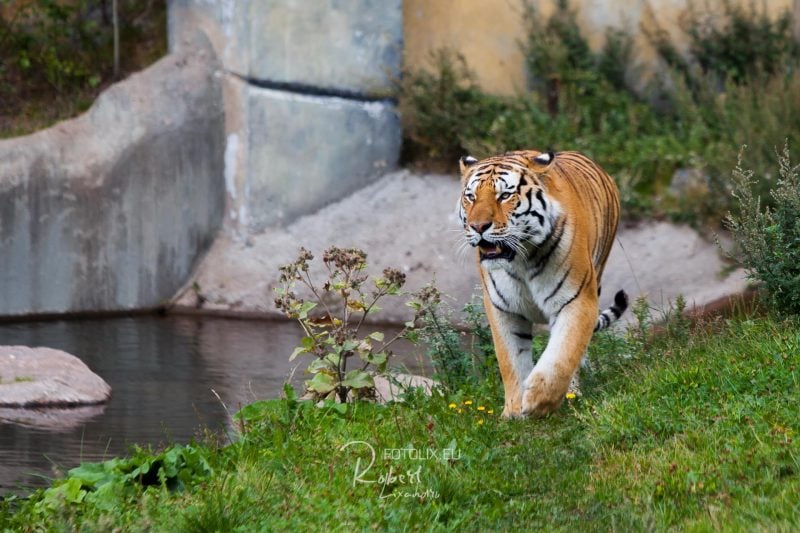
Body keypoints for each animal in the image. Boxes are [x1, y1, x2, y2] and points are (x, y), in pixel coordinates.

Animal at [458, 150, 628, 418]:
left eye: (504, 195)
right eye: (471, 197)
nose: (478, 227)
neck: (520, 259)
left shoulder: (576, 300)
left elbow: (562, 354)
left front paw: (538, 401)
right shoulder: (502, 308)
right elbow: (511, 360)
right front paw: (513, 411)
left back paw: (572, 393)